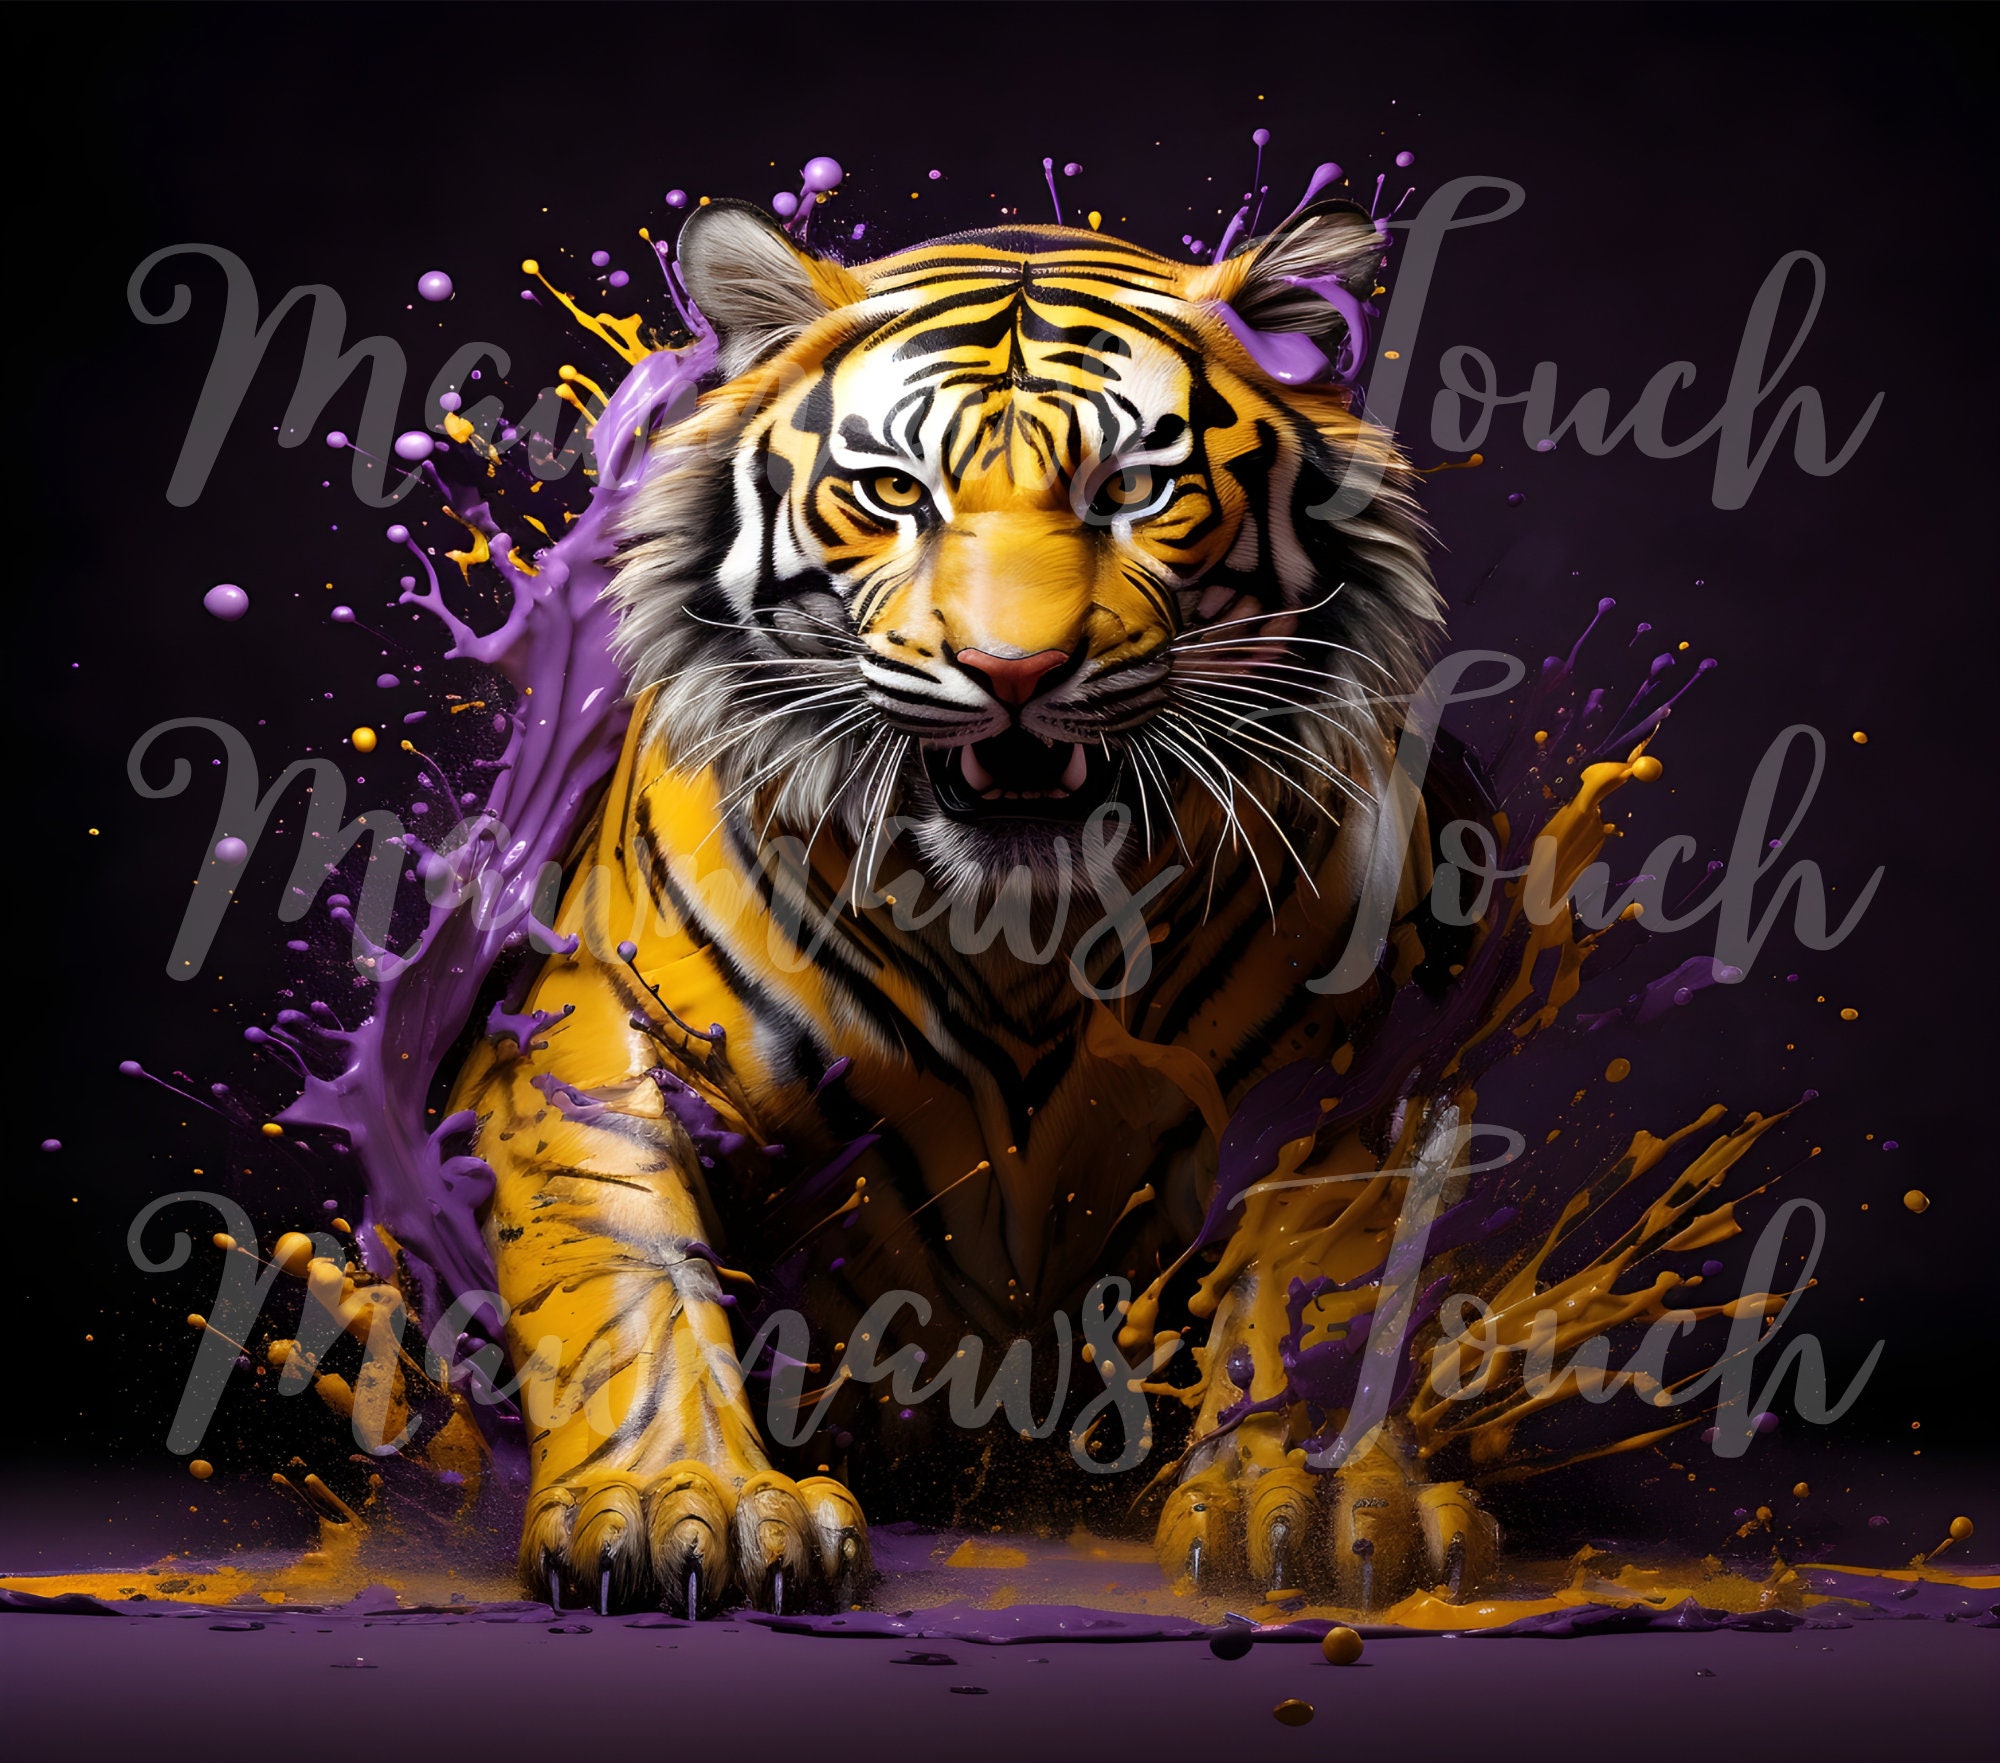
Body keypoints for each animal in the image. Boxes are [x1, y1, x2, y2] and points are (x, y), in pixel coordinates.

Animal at [446, 195, 1501, 1618]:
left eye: (1132, 490)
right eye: (894, 492)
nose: (1013, 670)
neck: (1021, 926)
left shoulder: (1369, 1052)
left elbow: (1323, 1275)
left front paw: (1320, 1497)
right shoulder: (585, 1028)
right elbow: (624, 1270)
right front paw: (683, 1501)